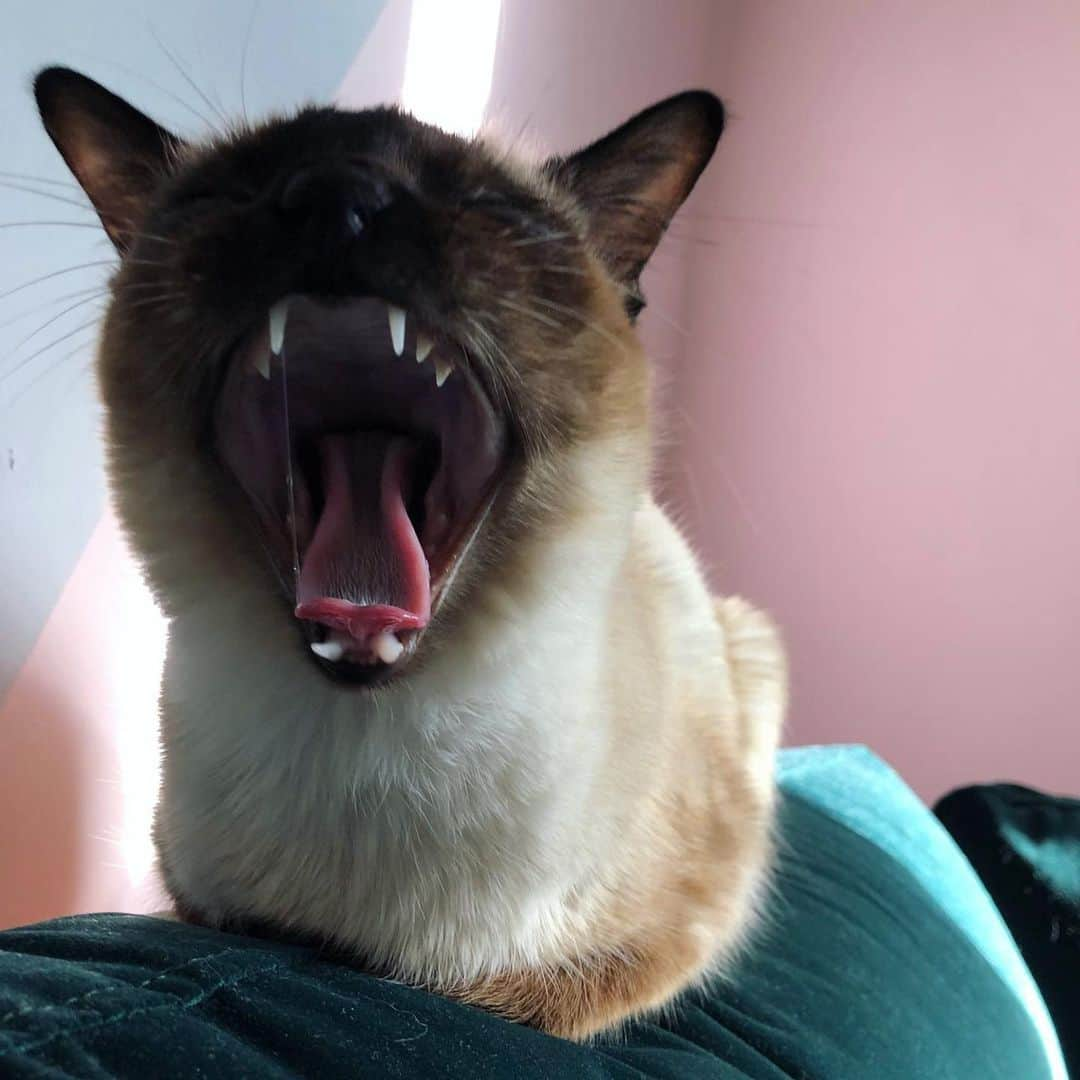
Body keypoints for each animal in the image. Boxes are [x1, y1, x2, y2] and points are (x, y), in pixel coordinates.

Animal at [35, 65, 786, 1036]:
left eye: (487, 201)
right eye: (236, 186)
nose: (336, 195)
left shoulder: (649, 941)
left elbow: (519, 991)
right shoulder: (194, 892)